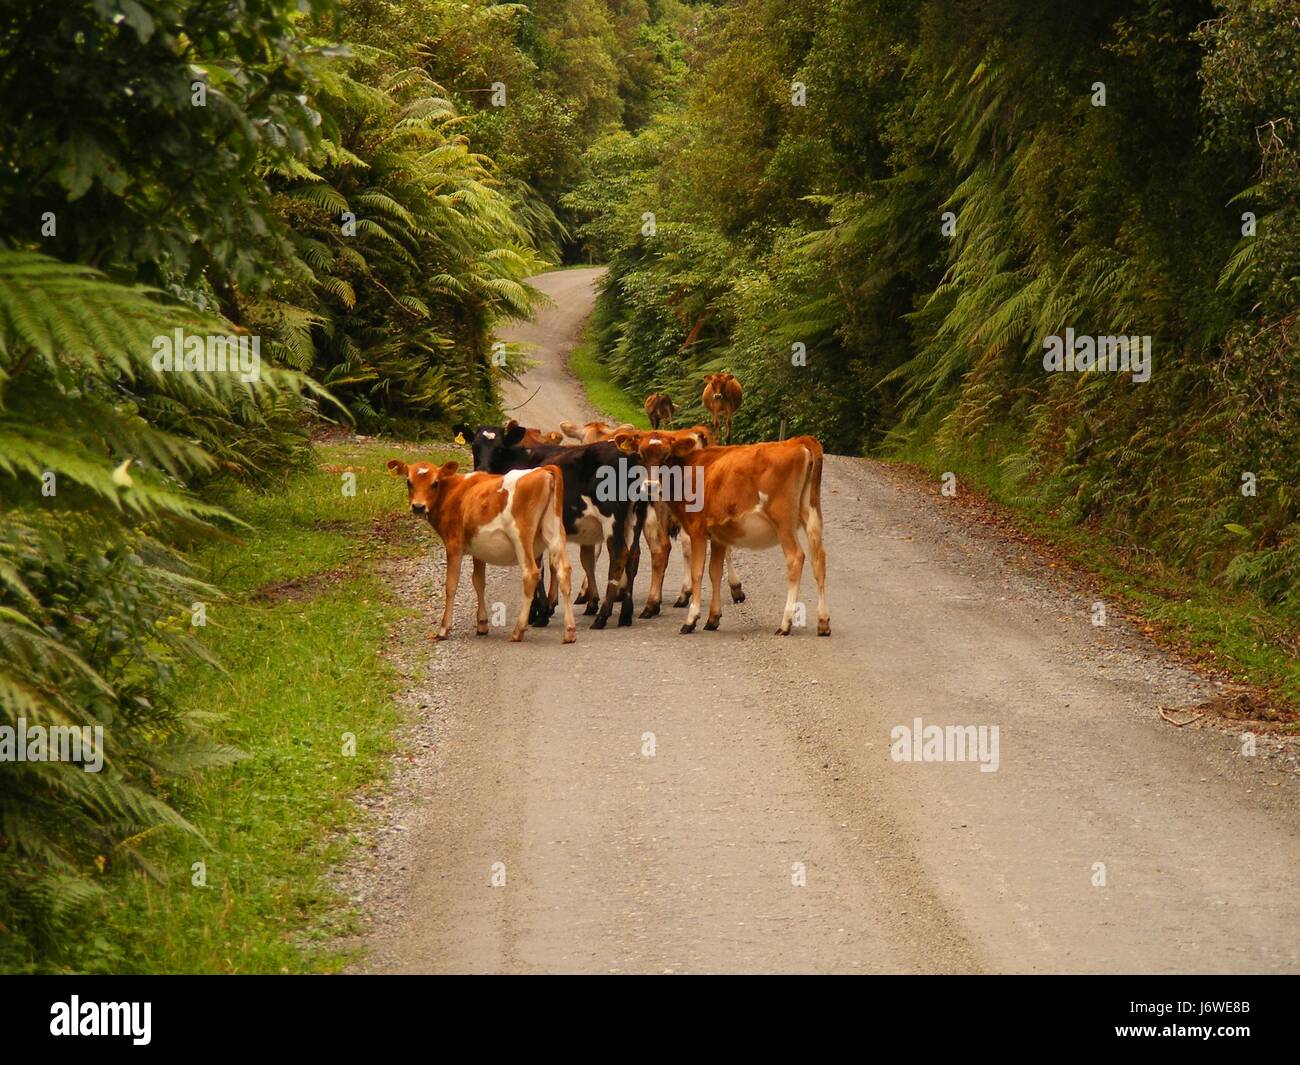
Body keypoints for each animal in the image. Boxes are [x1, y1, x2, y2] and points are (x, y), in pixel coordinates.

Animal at [386, 458, 576, 644]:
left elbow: (451, 585)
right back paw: (569, 631)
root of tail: (543, 471)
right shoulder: (479, 550)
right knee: (563, 571)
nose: (418, 506)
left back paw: (518, 631)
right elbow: (479, 581)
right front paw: (482, 624)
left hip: (521, 536)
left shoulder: (453, 545)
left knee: (531, 574)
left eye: (435, 483)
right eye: (409, 482)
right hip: (555, 533)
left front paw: (443, 629)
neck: (455, 493)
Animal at [452, 421, 647, 629]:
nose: (483, 470)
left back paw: (602, 617)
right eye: (475, 446)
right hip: (634, 517)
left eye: (499, 449)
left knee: (619, 555)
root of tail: (629, 454)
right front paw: (537, 612)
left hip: (611, 516)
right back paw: (625, 614)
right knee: (633, 555)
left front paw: (539, 614)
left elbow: (538, 568)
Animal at [612, 431, 828, 636]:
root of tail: (796, 441)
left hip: (783, 521)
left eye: (666, 456)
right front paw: (713, 618)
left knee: (796, 558)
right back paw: (823, 622)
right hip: (812, 514)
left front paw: (691, 619)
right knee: (818, 559)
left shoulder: (697, 530)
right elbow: (714, 572)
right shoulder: (718, 536)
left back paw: (785, 624)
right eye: (640, 455)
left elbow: (697, 572)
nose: (651, 486)